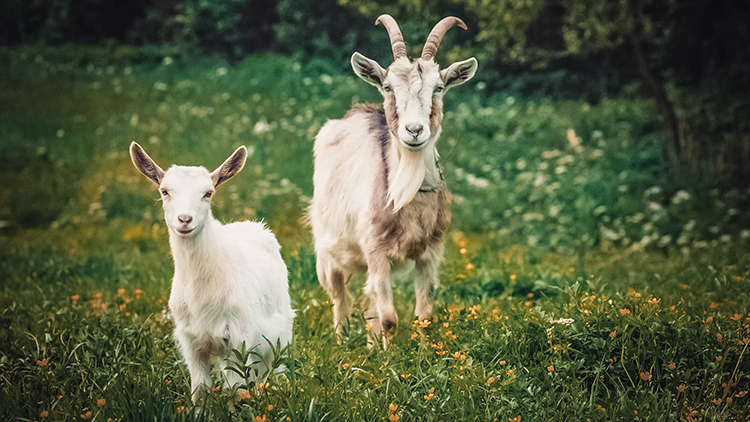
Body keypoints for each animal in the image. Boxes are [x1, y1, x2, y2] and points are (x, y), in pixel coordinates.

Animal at [129, 142, 294, 402]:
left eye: (208, 193)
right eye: (165, 191)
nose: (184, 219)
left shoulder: (239, 339)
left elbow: (236, 391)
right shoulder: (191, 342)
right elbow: (200, 390)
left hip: (278, 334)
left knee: (272, 372)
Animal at [310, 15, 478, 344]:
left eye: (439, 87)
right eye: (388, 86)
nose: (414, 130)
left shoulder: (430, 253)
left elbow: (424, 316)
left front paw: (423, 353)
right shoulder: (375, 249)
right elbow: (389, 318)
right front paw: (387, 355)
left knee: (370, 300)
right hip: (327, 248)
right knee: (340, 297)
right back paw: (341, 341)